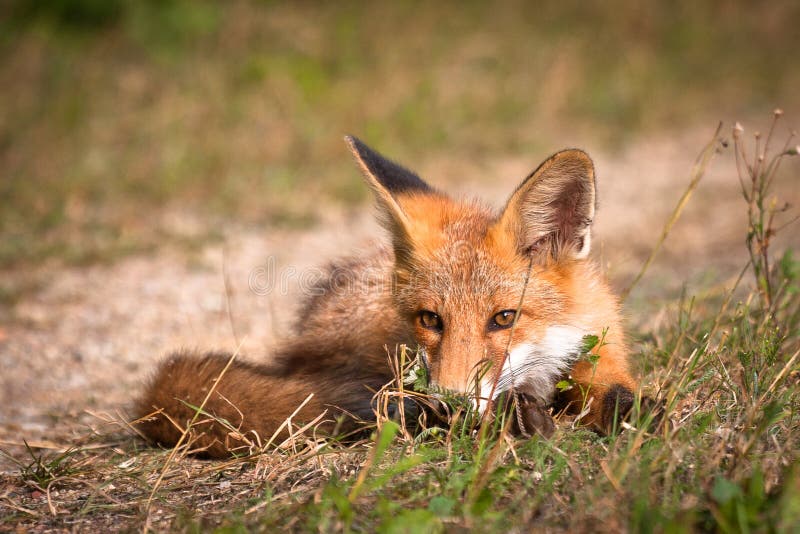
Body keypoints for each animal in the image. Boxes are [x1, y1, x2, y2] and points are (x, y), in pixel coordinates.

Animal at [134, 137, 638, 458]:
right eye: (431, 319)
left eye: (504, 318)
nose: (451, 405)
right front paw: (516, 421)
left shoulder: (602, 341)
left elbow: (615, 390)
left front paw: (633, 416)